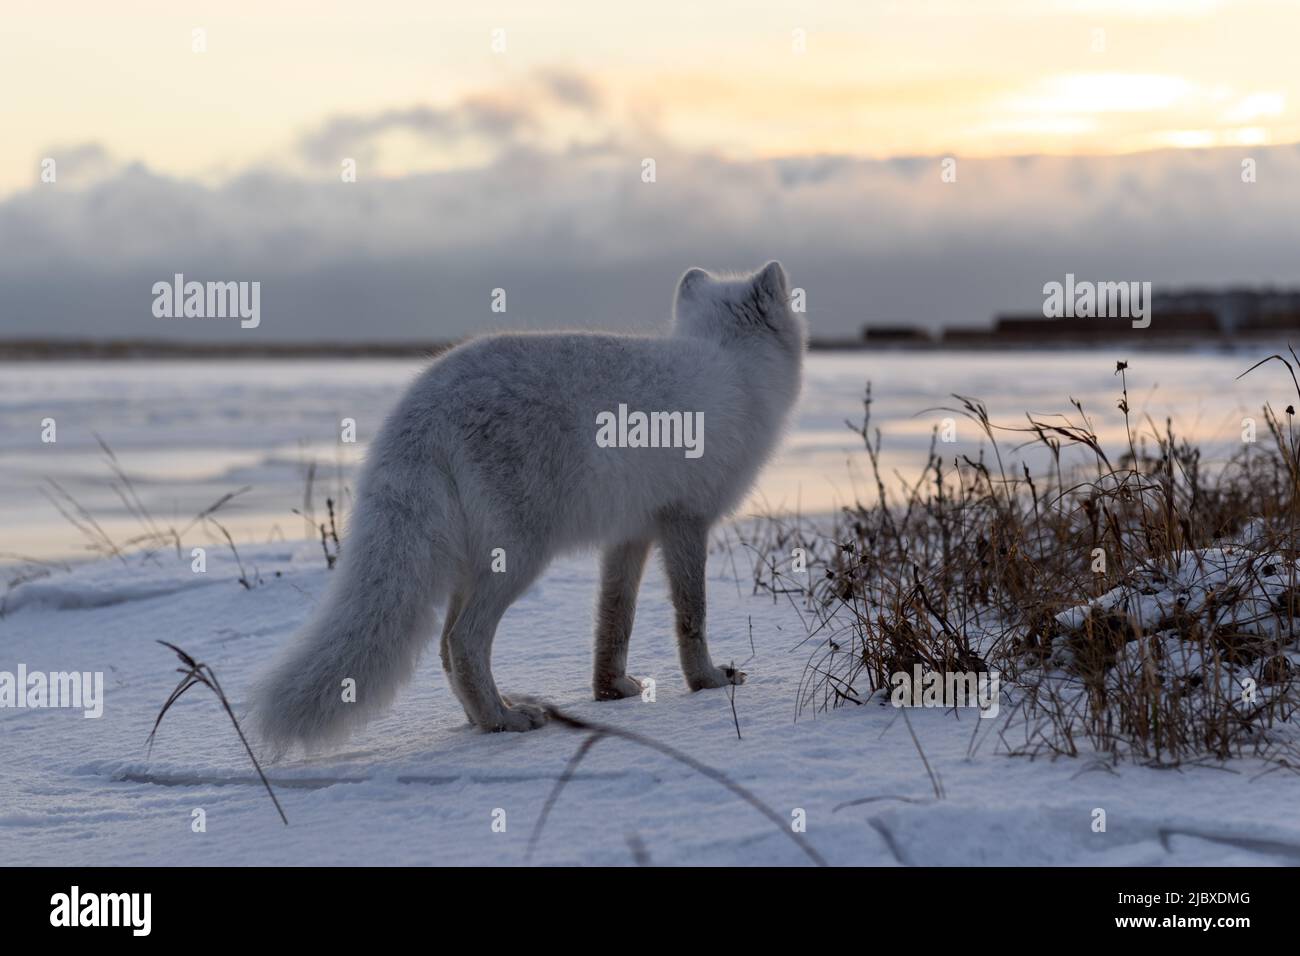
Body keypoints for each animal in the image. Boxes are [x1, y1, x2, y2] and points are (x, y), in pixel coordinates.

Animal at [250, 261, 805, 752]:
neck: (732, 365)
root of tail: (422, 405)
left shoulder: (630, 533)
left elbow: (614, 618)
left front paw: (611, 691)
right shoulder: (686, 519)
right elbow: (693, 615)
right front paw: (707, 682)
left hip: (474, 561)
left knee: (446, 647)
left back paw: (484, 718)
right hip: (518, 556)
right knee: (463, 641)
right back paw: (503, 721)